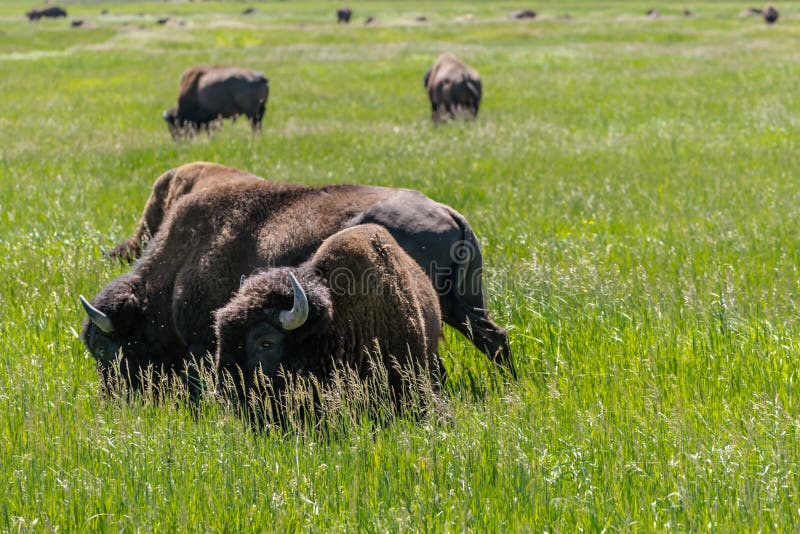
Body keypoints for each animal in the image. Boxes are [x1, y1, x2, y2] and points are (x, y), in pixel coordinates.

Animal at [81, 162, 513, 397]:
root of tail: (448, 212)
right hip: (463, 305)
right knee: (494, 338)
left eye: (106, 348)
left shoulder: (204, 346)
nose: (111, 398)